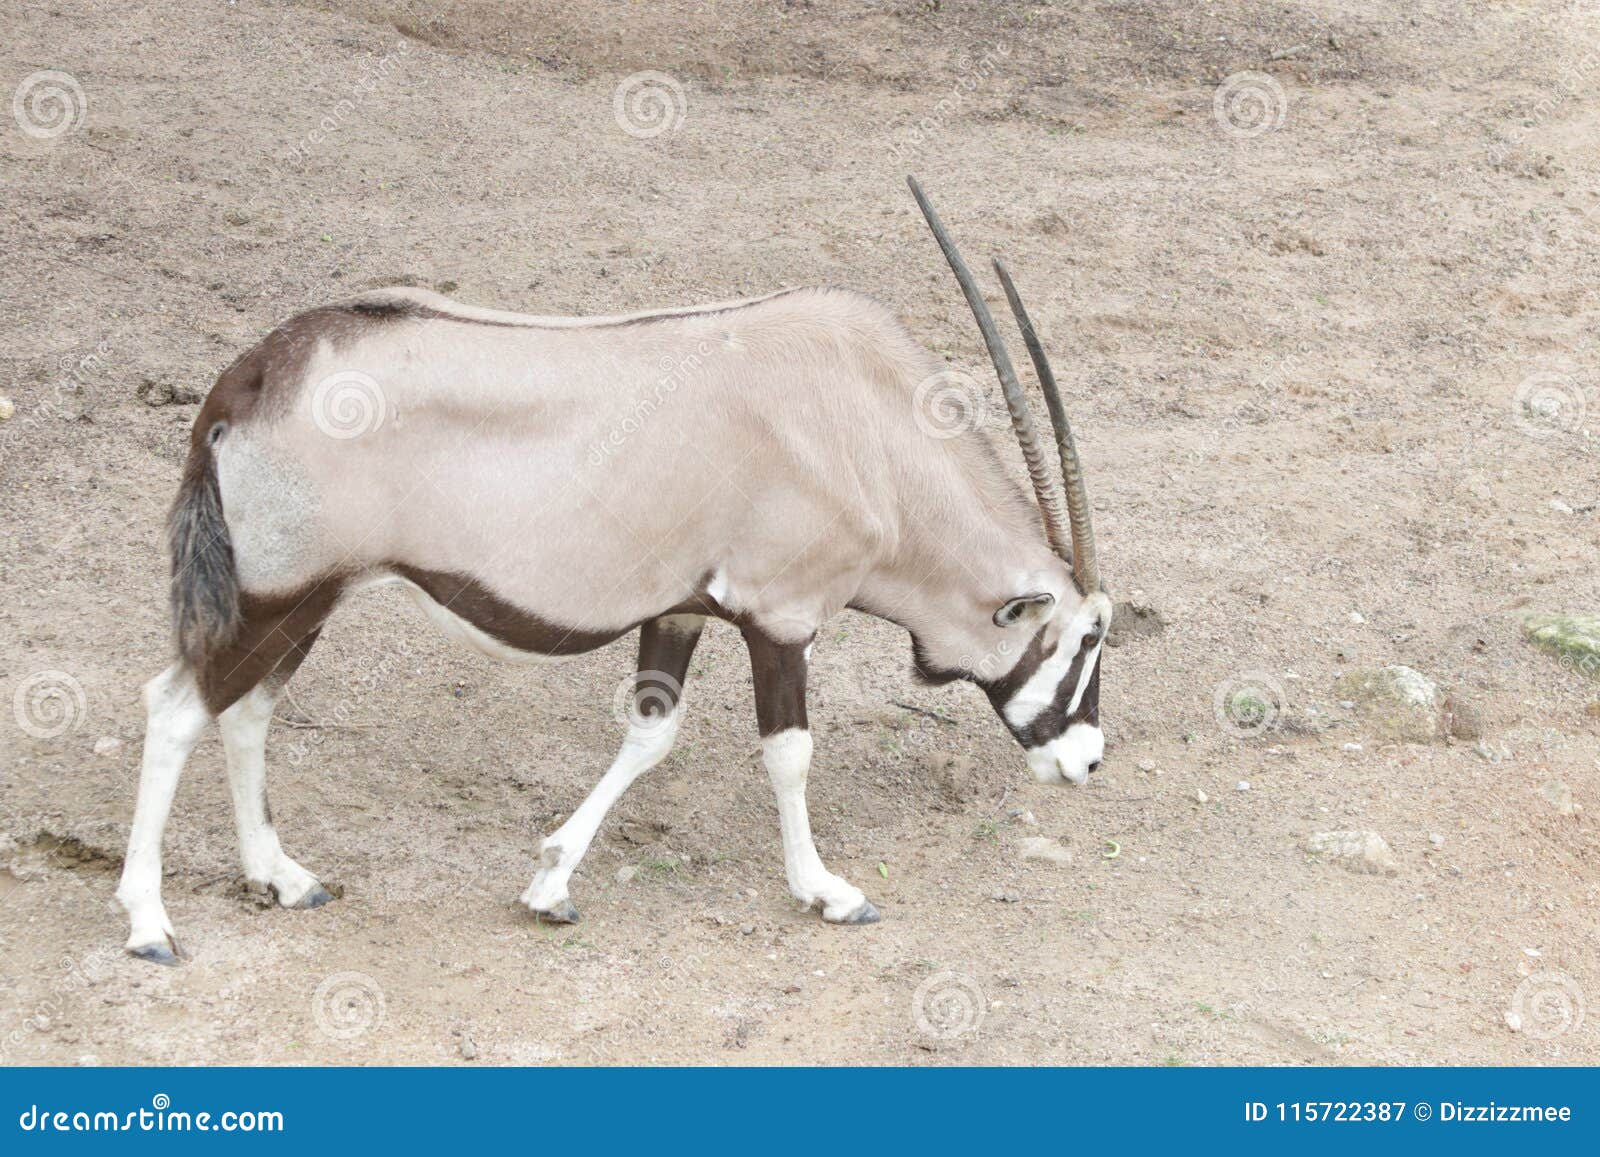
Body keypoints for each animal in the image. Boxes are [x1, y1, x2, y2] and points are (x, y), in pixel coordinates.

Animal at [115, 178, 1111, 963]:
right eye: (1084, 637)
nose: (1088, 761)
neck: (869, 436)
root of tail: (249, 376)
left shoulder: (685, 607)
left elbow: (649, 733)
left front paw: (551, 881)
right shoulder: (782, 616)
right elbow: (789, 753)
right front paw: (828, 891)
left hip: (305, 601)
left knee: (247, 712)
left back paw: (280, 877)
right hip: (271, 597)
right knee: (176, 710)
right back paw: (149, 923)